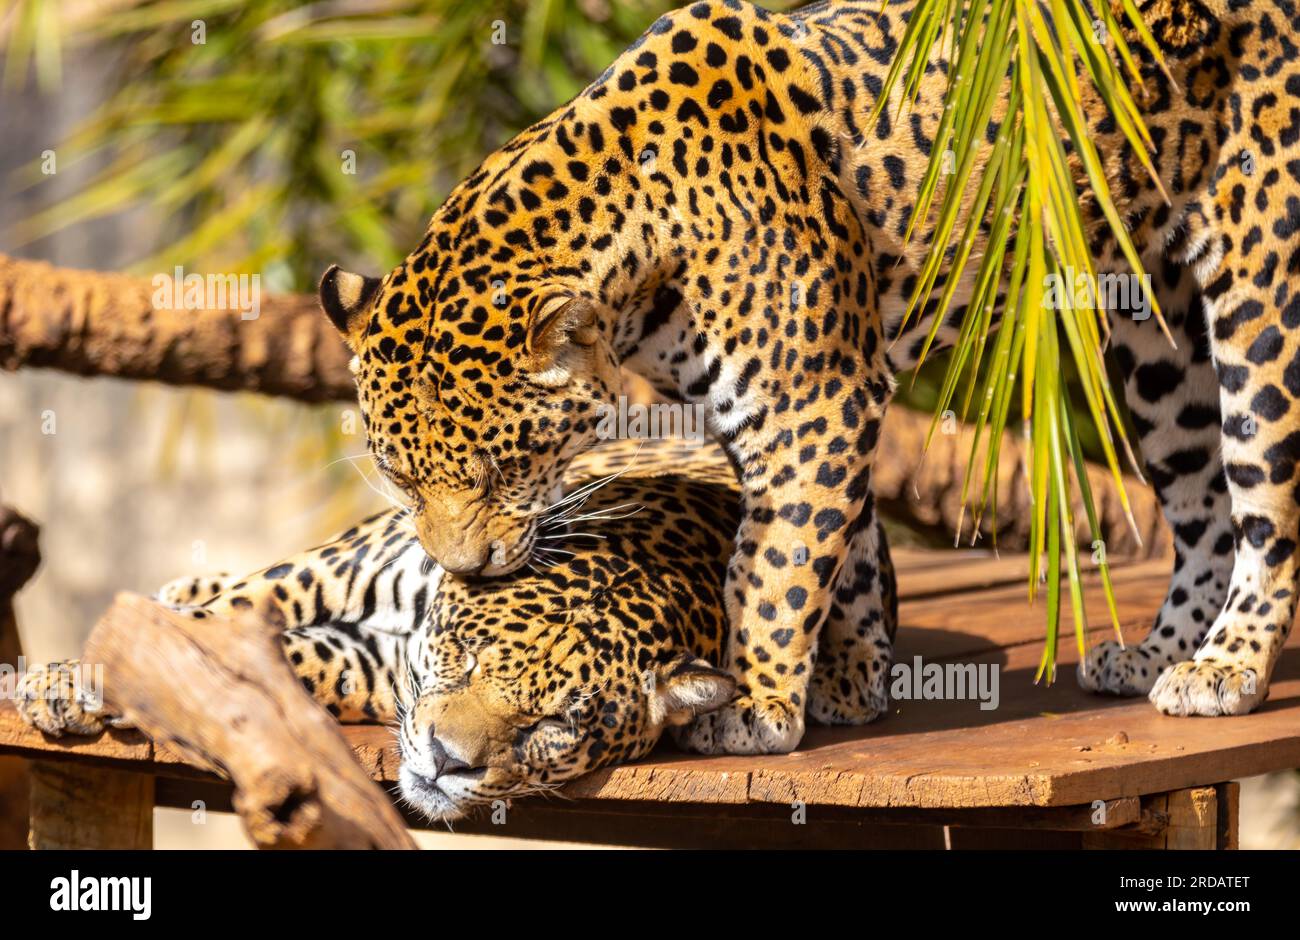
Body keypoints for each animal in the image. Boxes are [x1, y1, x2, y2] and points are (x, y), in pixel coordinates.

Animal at [314, 0, 1300, 753]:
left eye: (506, 470)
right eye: (399, 476)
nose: (461, 572)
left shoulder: (811, 402)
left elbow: (772, 562)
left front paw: (754, 702)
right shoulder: (797, 408)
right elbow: (842, 545)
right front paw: (851, 675)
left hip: (1261, 296)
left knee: (1265, 504)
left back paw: (1230, 666)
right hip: (1154, 336)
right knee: (1204, 510)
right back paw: (1157, 656)